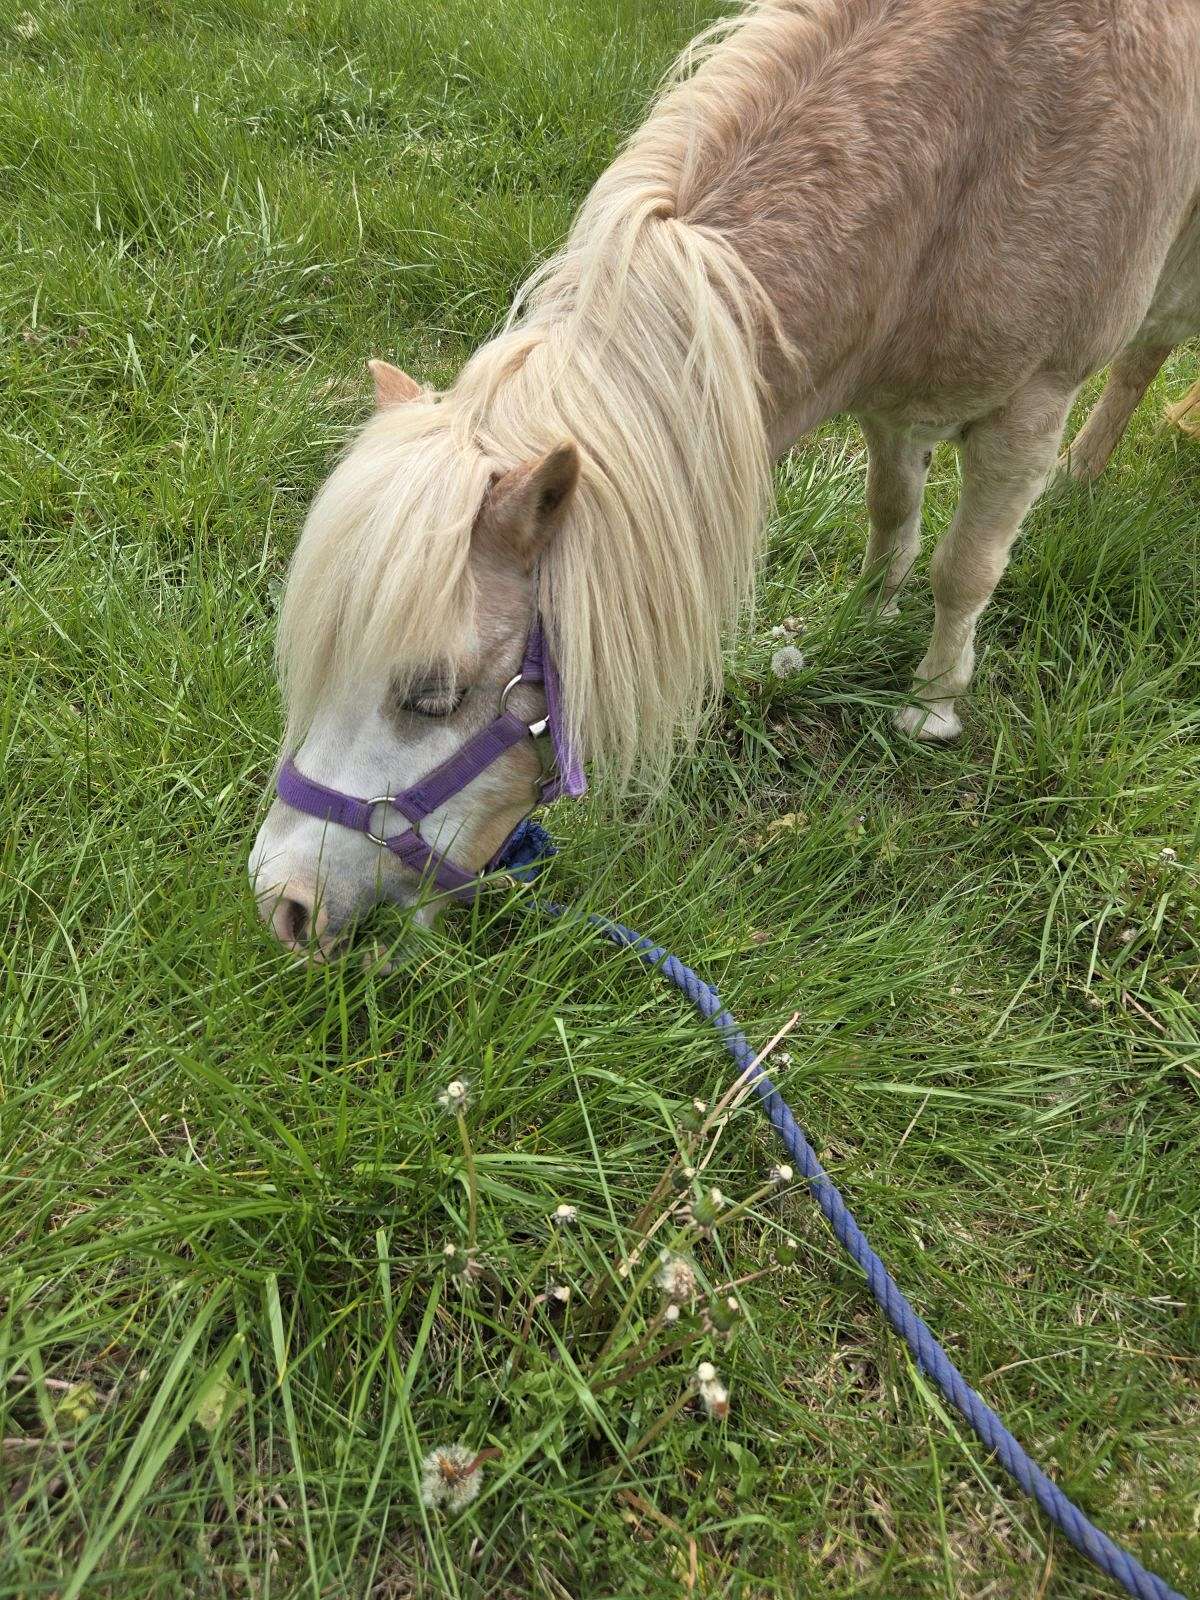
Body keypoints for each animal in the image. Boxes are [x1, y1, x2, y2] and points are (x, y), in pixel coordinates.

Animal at [250, 0, 1200, 952]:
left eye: (432, 697)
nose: (281, 901)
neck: (972, 150)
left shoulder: (1030, 407)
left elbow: (963, 570)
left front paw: (933, 702)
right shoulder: (891, 401)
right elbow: (890, 512)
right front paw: (861, 621)